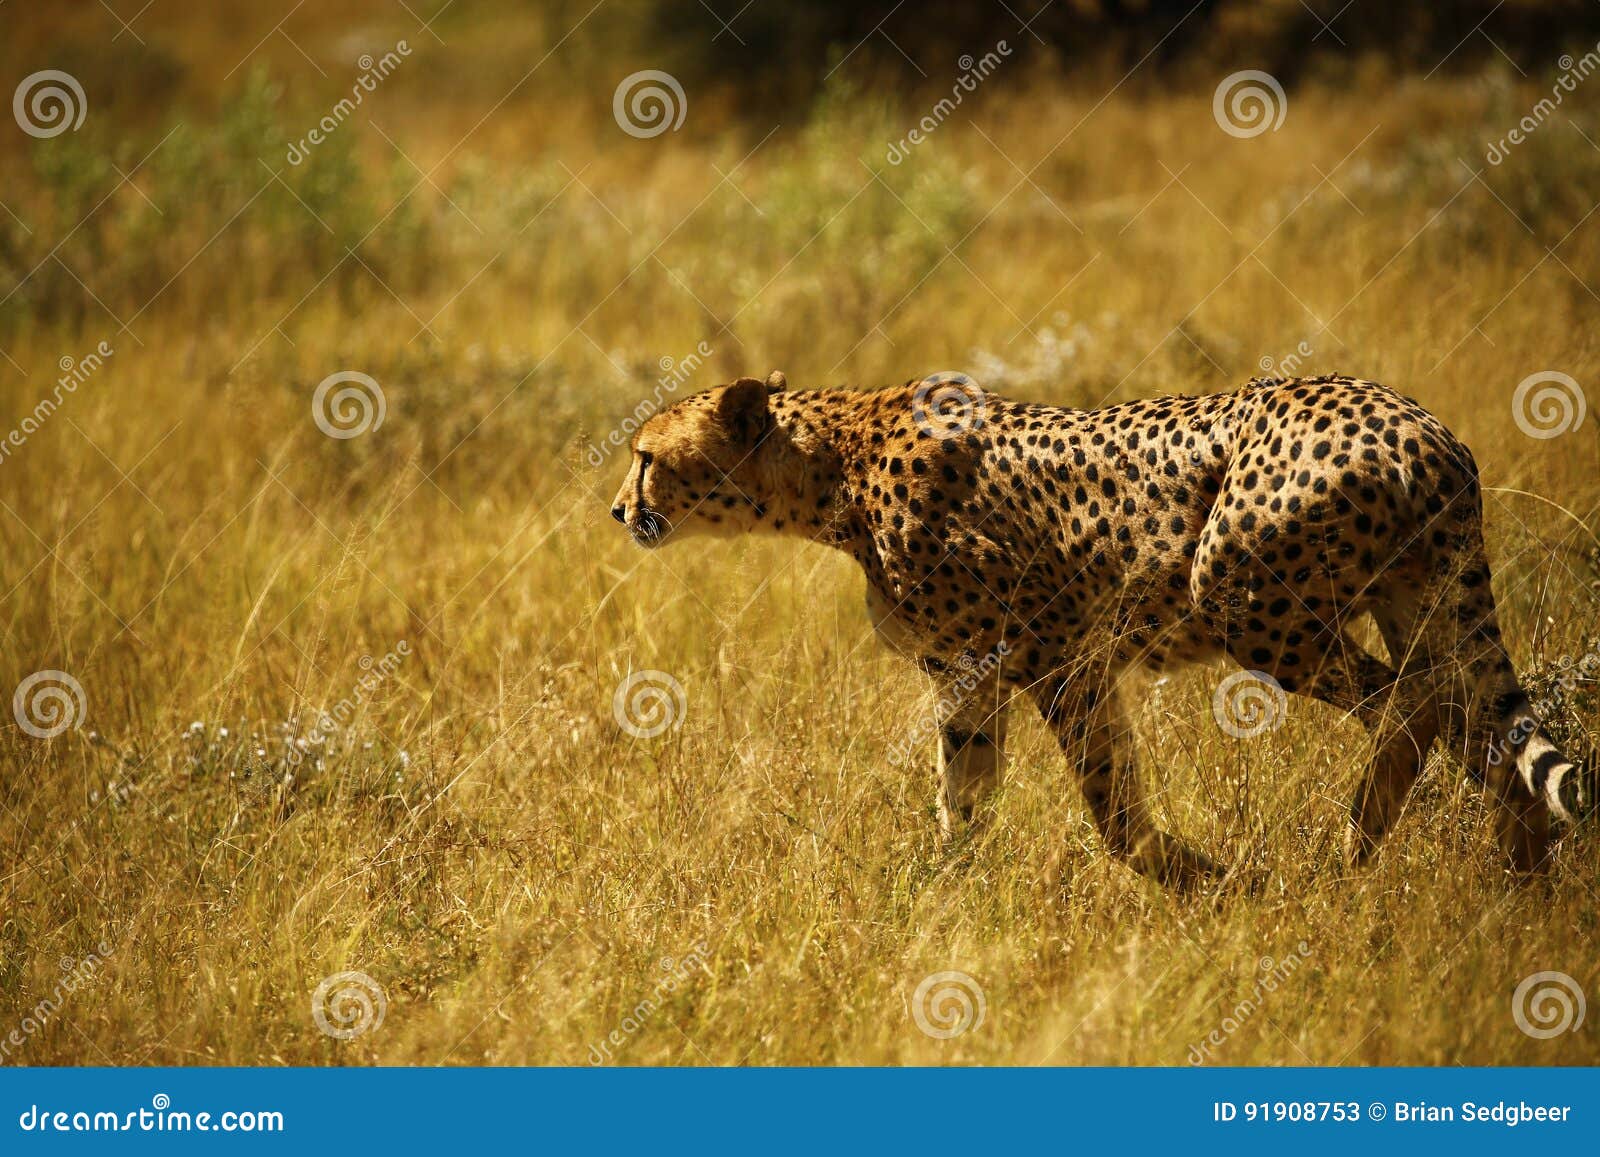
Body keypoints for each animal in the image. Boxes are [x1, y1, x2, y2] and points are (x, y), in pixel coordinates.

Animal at [609, 369, 1590, 888]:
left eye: (647, 457)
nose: (617, 509)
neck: (832, 468)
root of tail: (1419, 425)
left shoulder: (1054, 655)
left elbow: (1109, 803)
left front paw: (1201, 879)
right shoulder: (969, 674)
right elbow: (965, 791)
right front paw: (946, 892)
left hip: (1243, 597)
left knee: (1416, 702)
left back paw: (1356, 840)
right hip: (1416, 601)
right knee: (1479, 724)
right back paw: (1523, 871)